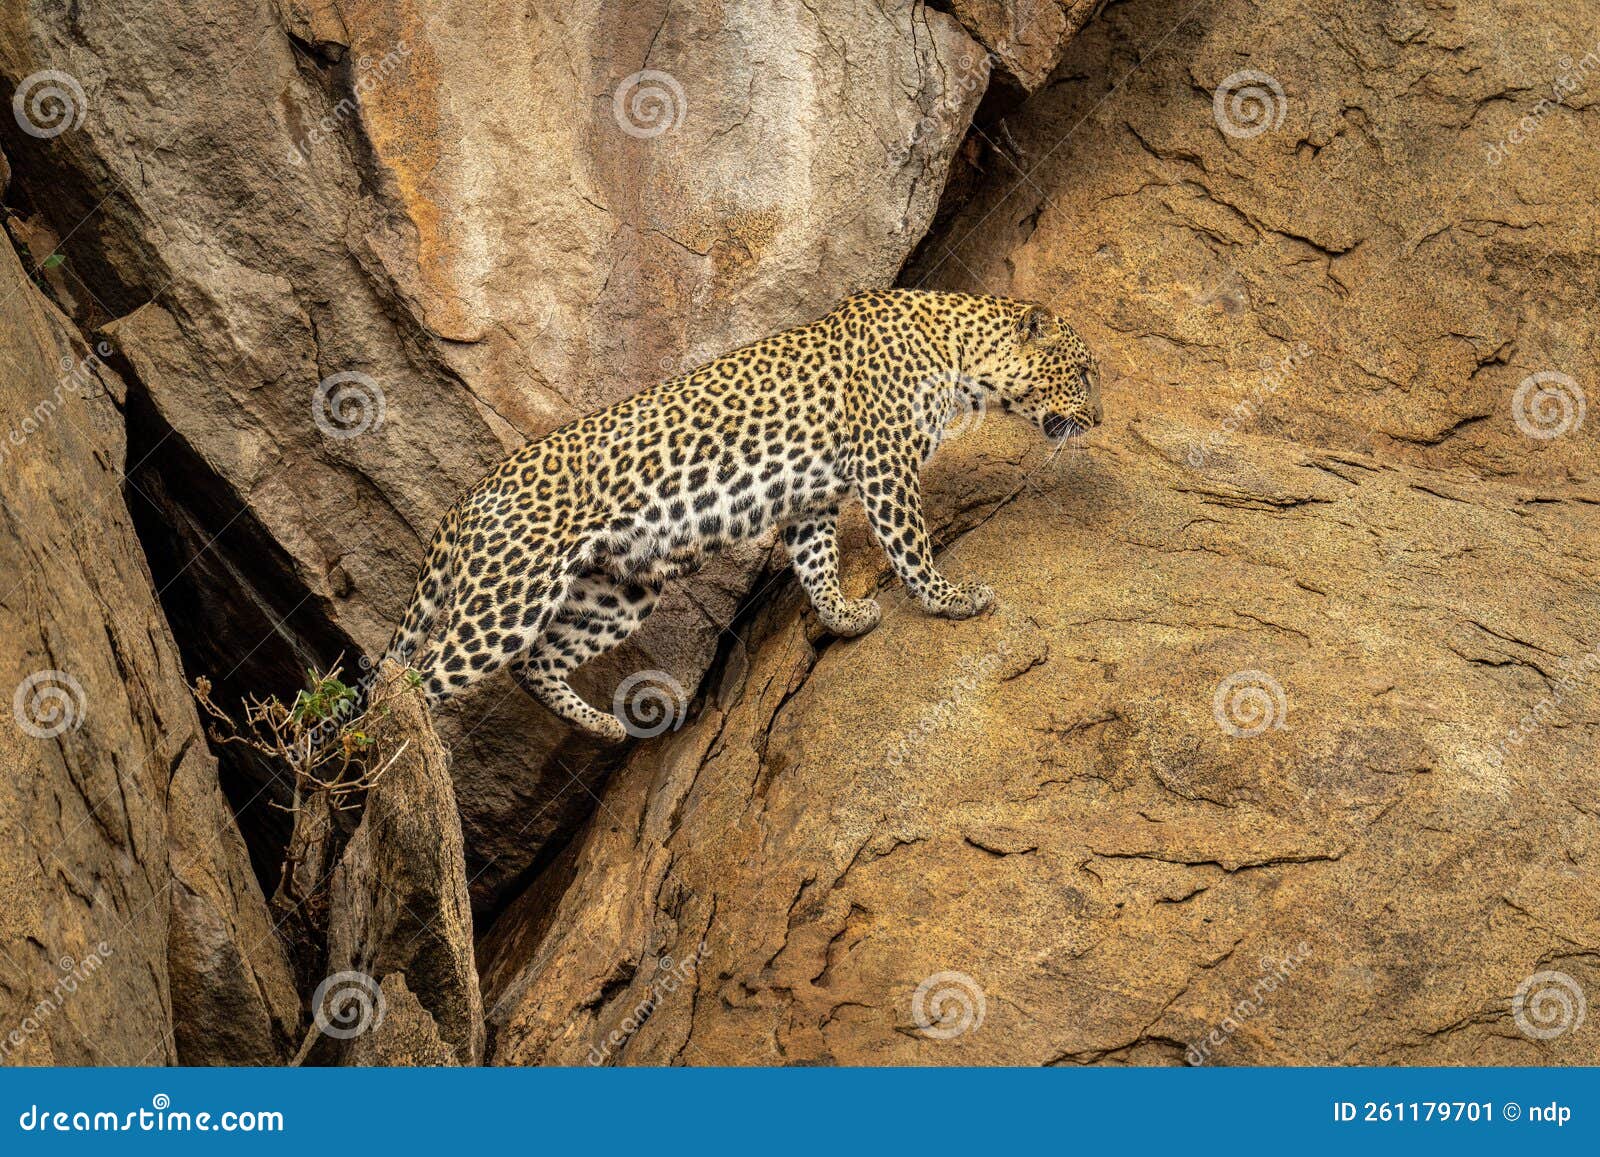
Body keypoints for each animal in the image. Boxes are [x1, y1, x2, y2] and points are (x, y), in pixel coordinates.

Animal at [383, 288, 1102, 742]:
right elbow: (910, 542)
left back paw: (606, 726)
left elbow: (816, 562)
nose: (1101, 418)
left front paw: (842, 617)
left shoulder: (813, 498)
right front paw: (950, 599)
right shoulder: (885, 461)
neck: (958, 354)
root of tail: (464, 501)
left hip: (619, 589)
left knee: (536, 664)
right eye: (1085, 373)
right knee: (410, 682)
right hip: (507, 597)